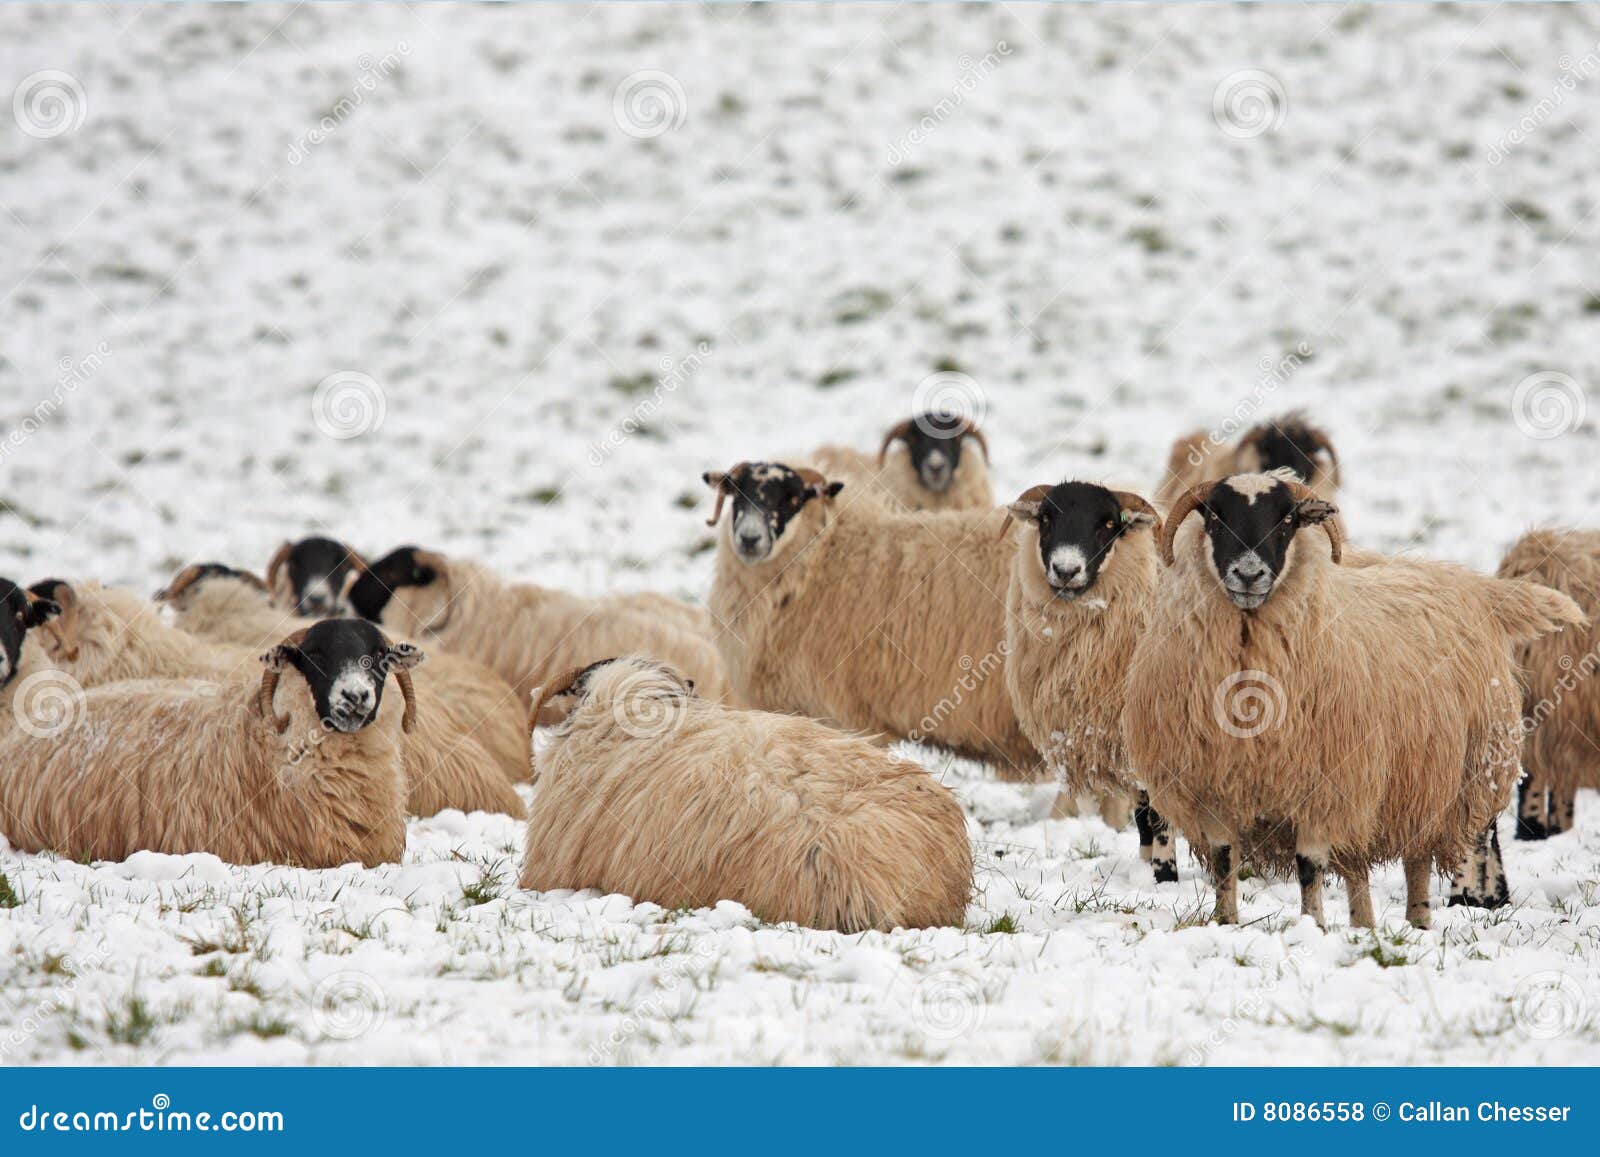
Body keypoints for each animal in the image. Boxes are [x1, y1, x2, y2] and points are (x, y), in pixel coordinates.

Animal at [999, 480, 1178, 878]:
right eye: (1046, 518)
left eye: (1109, 524)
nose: (1066, 570)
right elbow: (1143, 817)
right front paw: (1145, 871)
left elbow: (1159, 820)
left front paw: (1166, 876)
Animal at [1124, 473, 1583, 929]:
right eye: (1216, 518)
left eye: (1286, 520)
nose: (1249, 574)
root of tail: (1467, 584)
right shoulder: (1214, 786)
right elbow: (1223, 863)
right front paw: (1226, 922)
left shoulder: (1324, 786)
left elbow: (1309, 866)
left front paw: (1312, 926)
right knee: (1359, 866)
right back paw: (1365, 925)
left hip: (1438, 782)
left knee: (1417, 861)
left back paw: (1418, 923)